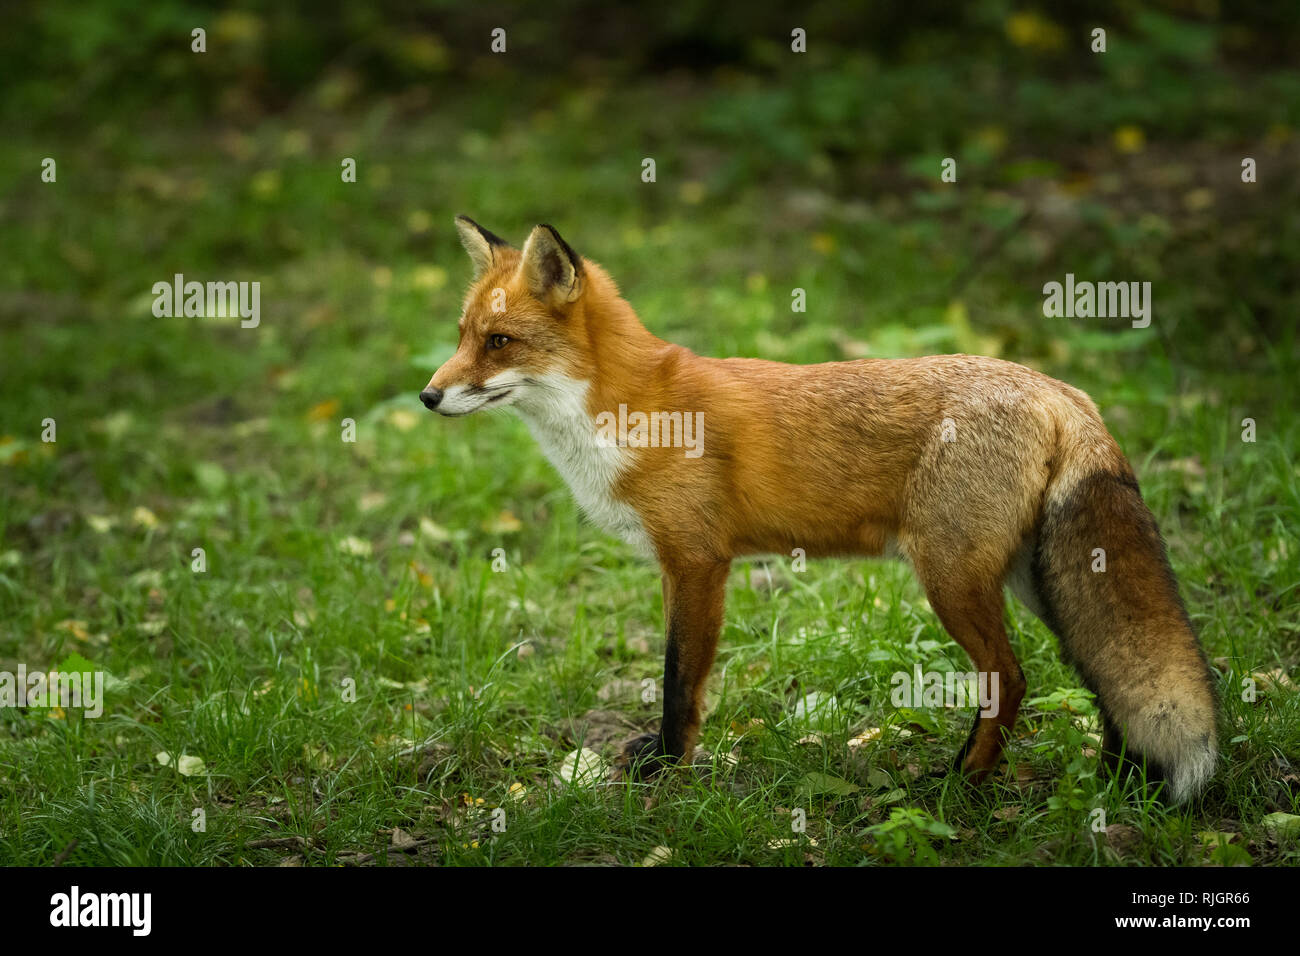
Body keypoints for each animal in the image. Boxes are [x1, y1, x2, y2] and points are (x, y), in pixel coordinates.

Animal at [420, 215, 1219, 803]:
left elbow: (680, 680)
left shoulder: (699, 561)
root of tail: (1059, 387)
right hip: (1034, 576)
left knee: (1012, 677)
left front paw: (669, 770)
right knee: (1093, 672)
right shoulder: (678, 566)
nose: (427, 397)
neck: (629, 409)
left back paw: (962, 783)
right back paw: (1117, 778)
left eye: (498, 342)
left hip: (953, 576)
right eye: (461, 336)